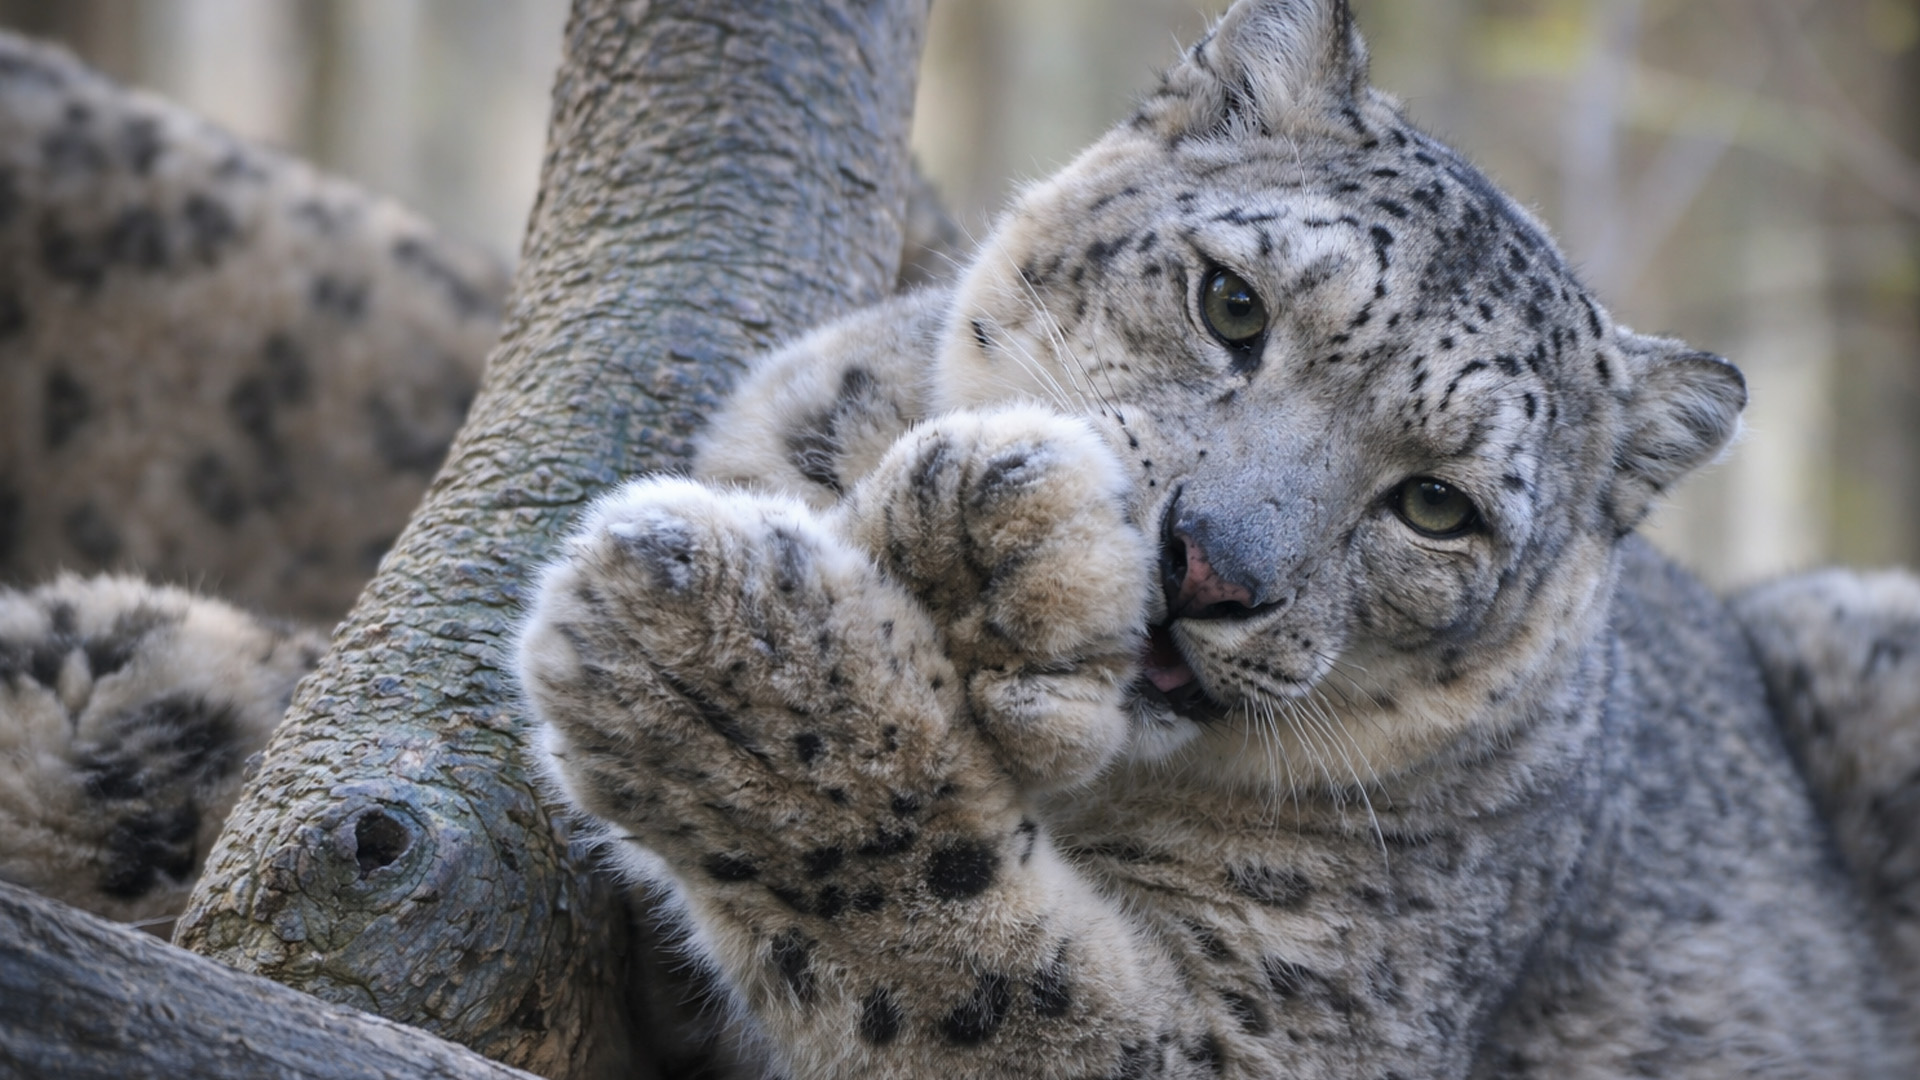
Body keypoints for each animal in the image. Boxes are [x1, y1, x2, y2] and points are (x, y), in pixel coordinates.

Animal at [513, 1, 1920, 1077]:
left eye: (1438, 506)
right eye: (1231, 303)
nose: (1208, 566)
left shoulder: (1296, 1027)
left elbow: (991, 965)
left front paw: (739, 673)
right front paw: (994, 541)